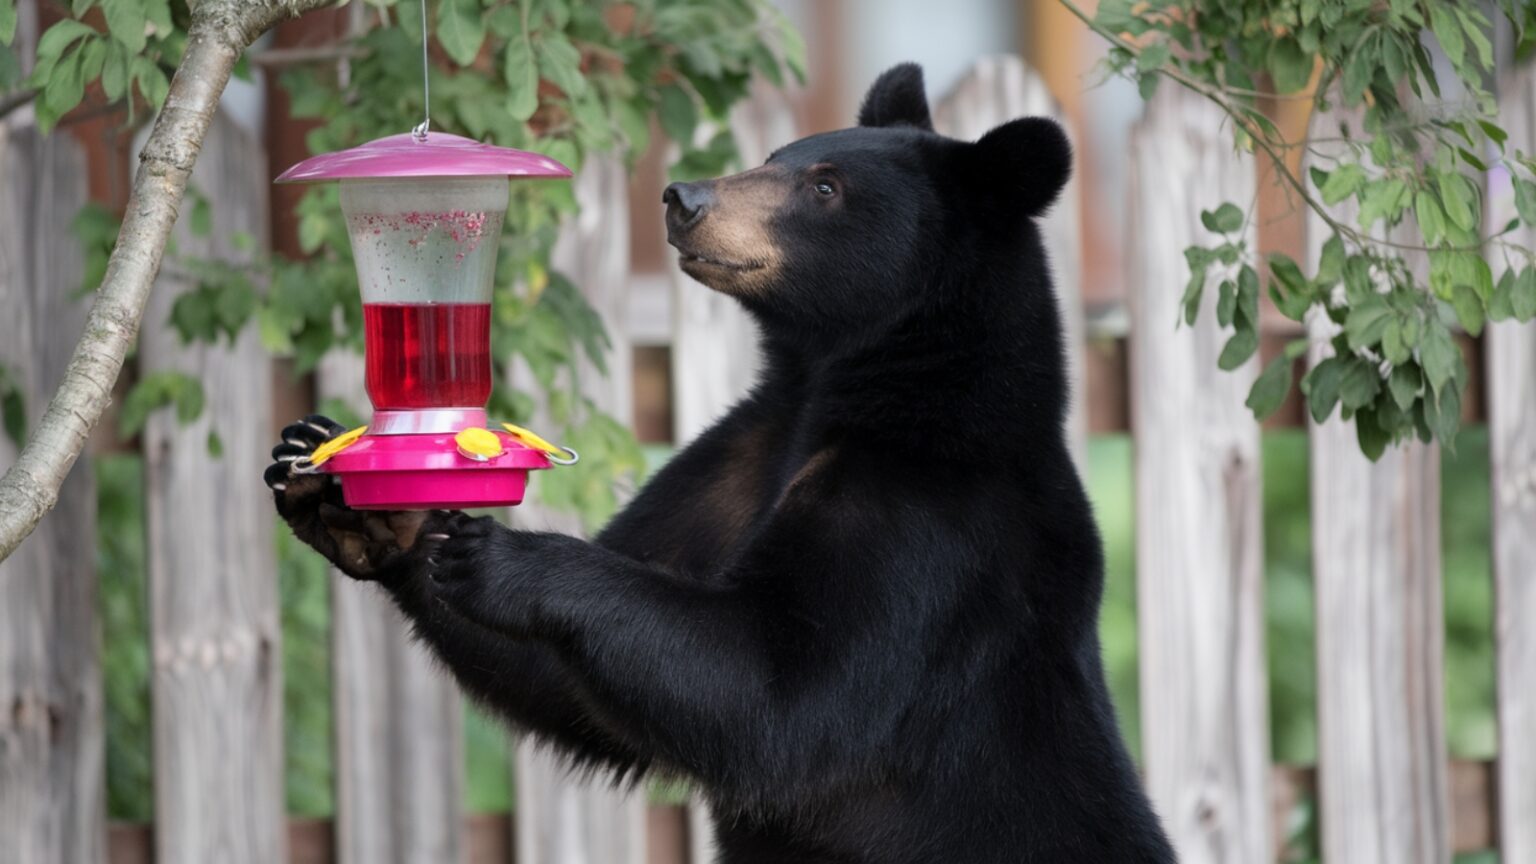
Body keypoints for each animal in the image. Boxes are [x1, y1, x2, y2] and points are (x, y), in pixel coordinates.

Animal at [266, 63, 1176, 863]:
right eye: (773, 156)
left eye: (824, 187)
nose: (685, 199)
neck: (848, 385)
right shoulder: (744, 454)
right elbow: (571, 686)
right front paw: (346, 492)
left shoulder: (928, 521)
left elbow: (785, 690)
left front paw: (508, 557)